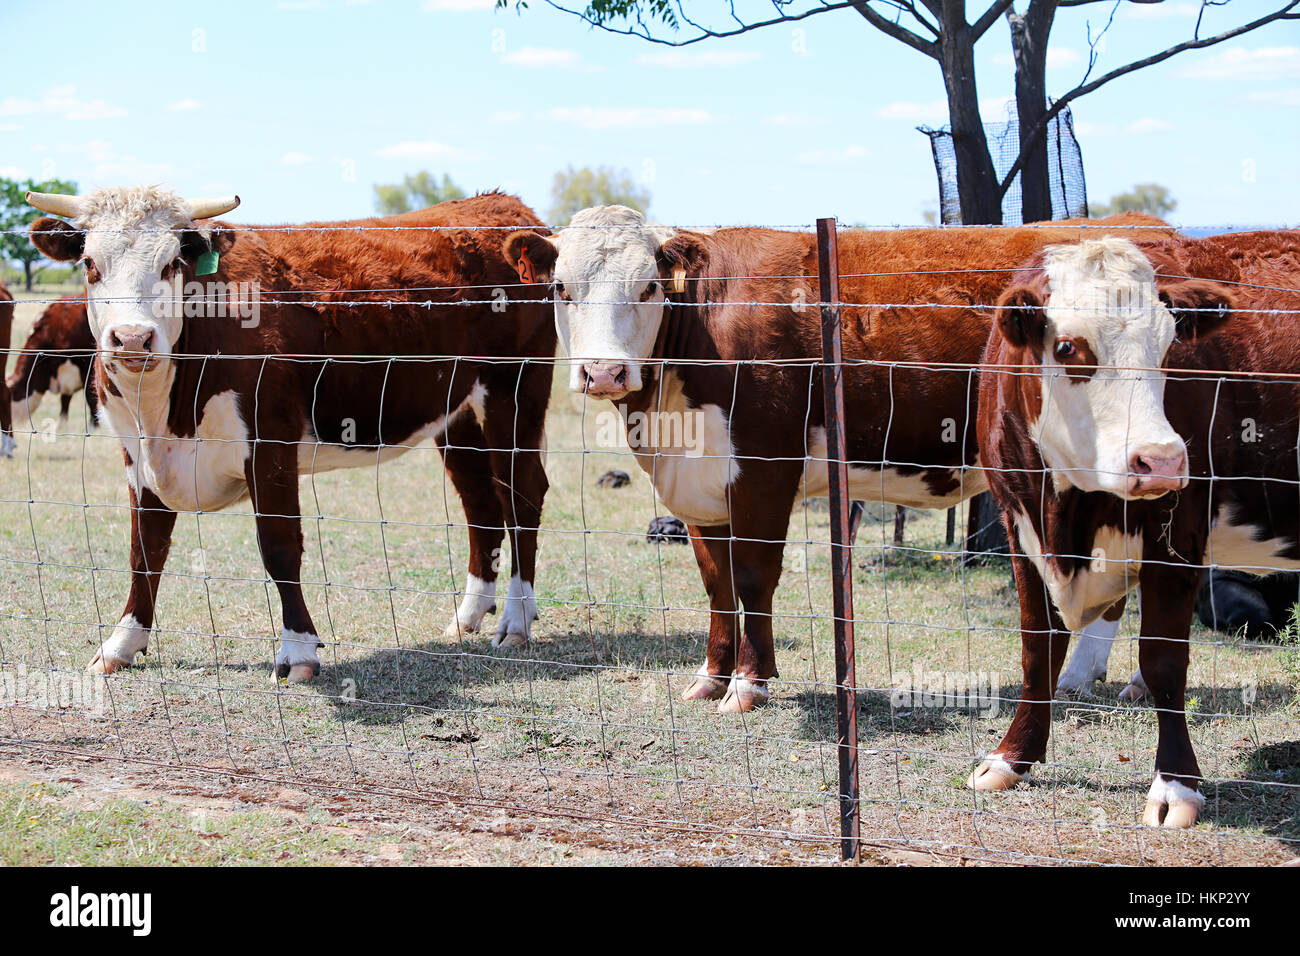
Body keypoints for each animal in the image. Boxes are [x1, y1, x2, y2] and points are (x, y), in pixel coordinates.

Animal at [26, 186, 555, 681]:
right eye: (90, 264)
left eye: (172, 262)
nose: (132, 339)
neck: (165, 410)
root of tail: (501, 204)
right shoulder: (139, 456)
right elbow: (144, 549)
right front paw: (120, 644)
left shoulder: (270, 444)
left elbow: (279, 546)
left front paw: (298, 651)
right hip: (457, 414)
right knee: (481, 503)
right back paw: (467, 617)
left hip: (516, 392)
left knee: (523, 494)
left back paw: (516, 621)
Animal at [501, 205, 1169, 713]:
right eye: (562, 288)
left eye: (647, 287)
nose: (603, 372)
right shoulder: (699, 485)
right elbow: (717, 582)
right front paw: (710, 678)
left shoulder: (764, 469)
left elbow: (752, 577)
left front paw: (748, 686)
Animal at [973, 230, 1300, 828]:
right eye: (1067, 348)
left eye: (1169, 350)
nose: (1163, 460)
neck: (1067, 512)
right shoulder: (1018, 524)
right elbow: (1037, 648)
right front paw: (1012, 758)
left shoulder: (1178, 532)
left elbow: (1163, 660)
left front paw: (1175, 786)